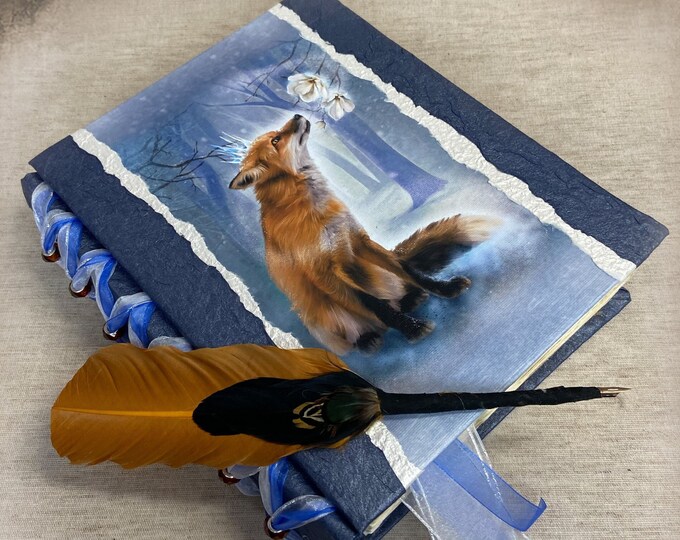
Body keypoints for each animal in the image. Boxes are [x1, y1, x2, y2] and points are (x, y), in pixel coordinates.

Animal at [229, 114, 497, 355]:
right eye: (276, 140)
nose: (296, 115)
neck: (314, 210)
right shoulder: (324, 273)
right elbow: (375, 305)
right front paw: (412, 329)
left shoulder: (359, 241)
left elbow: (411, 272)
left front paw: (445, 289)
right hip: (316, 317)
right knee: (366, 328)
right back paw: (368, 339)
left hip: (374, 272)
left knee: (396, 293)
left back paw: (410, 300)